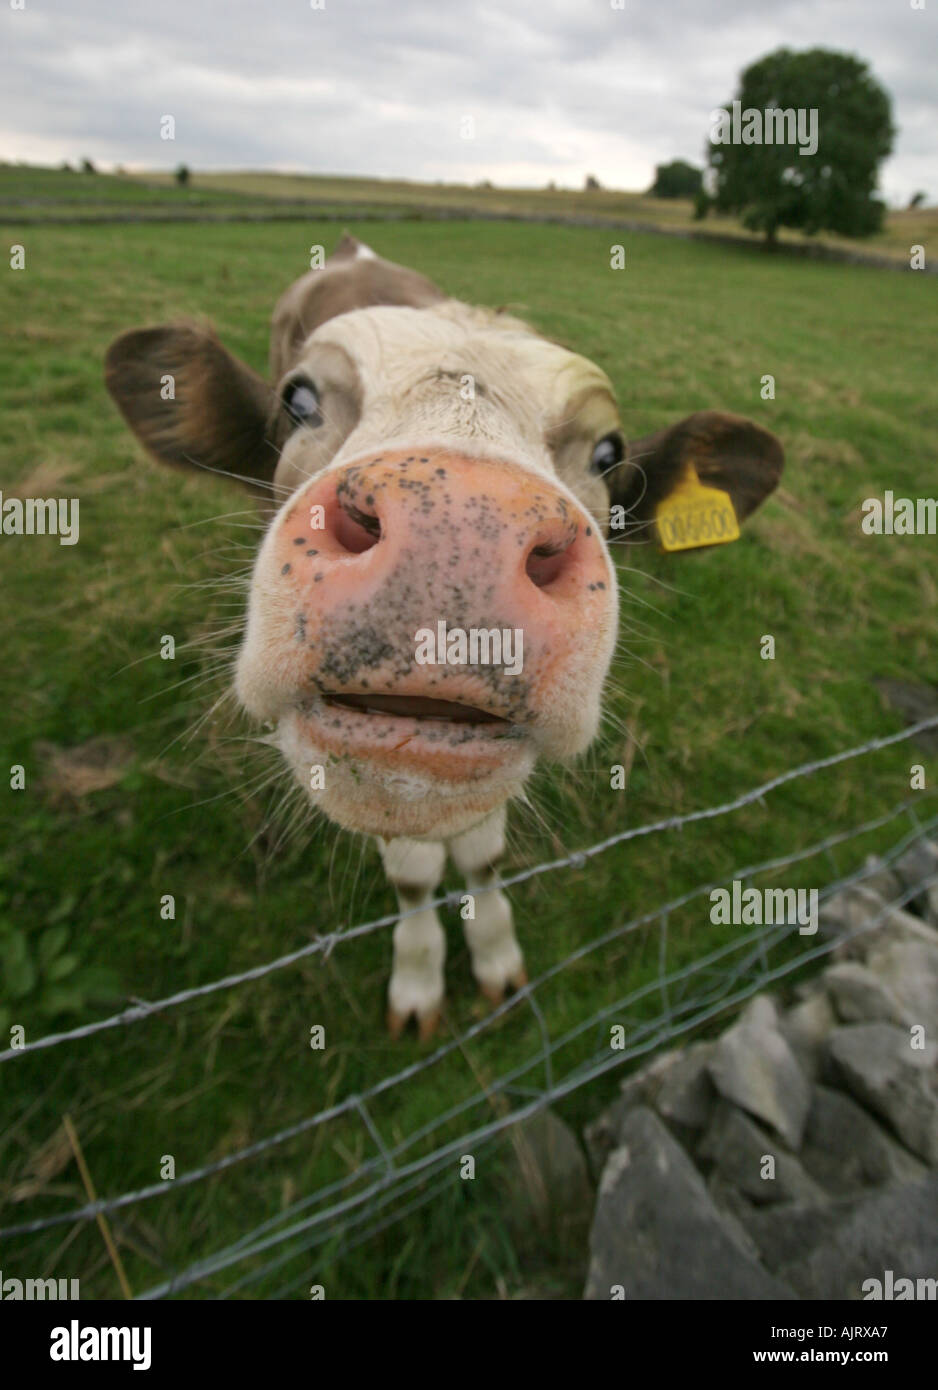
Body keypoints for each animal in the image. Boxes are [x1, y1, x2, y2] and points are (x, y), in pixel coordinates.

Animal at [104, 233, 783, 1038]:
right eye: (298, 400)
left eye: (608, 453)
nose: (462, 524)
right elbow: (412, 877)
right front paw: (420, 977)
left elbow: (483, 858)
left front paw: (494, 956)